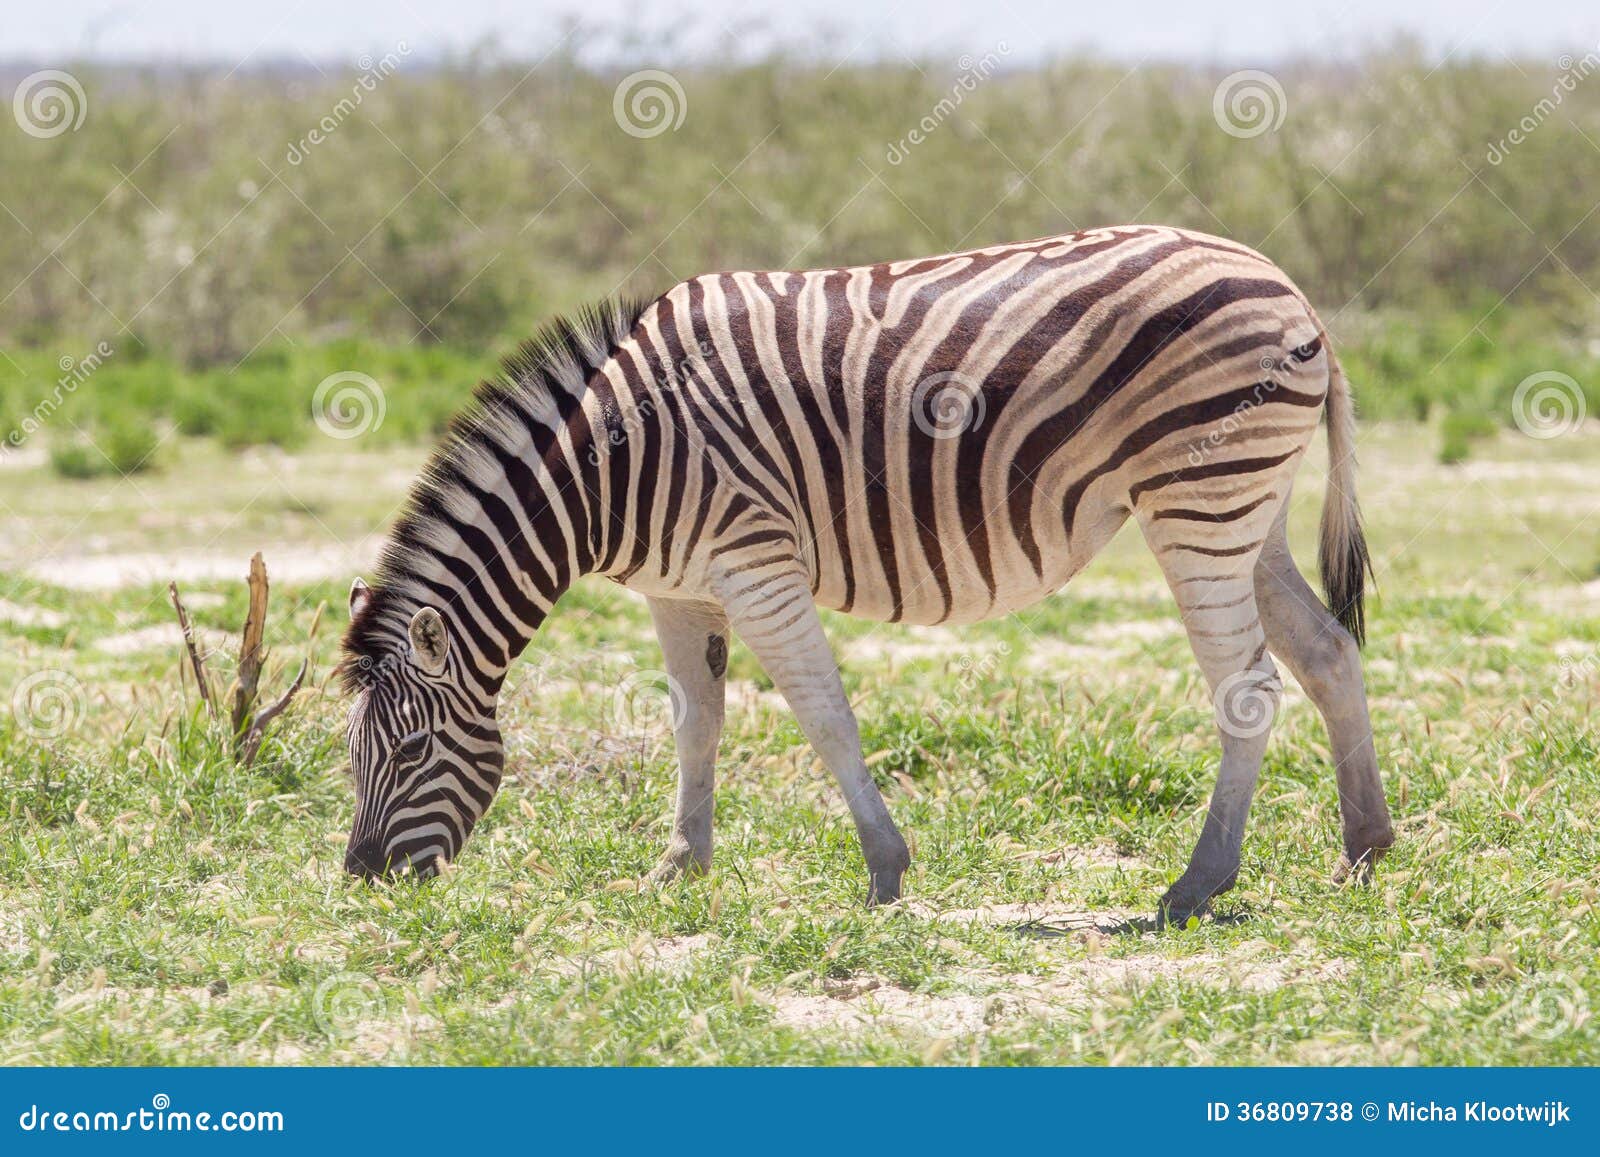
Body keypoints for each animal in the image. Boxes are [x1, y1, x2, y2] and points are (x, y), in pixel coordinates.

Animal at [339, 224, 1395, 926]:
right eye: (352, 757)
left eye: (411, 752)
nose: (362, 878)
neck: (613, 463)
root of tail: (1287, 286)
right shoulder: (679, 589)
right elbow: (695, 722)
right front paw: (677, 865)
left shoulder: (753, 562)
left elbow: (823, 714)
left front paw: (884, 870)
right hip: (1247, 509)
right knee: (1328, 653)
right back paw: (1364, 850)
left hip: (1198, 498)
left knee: (1249, 684)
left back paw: (1197, 884)